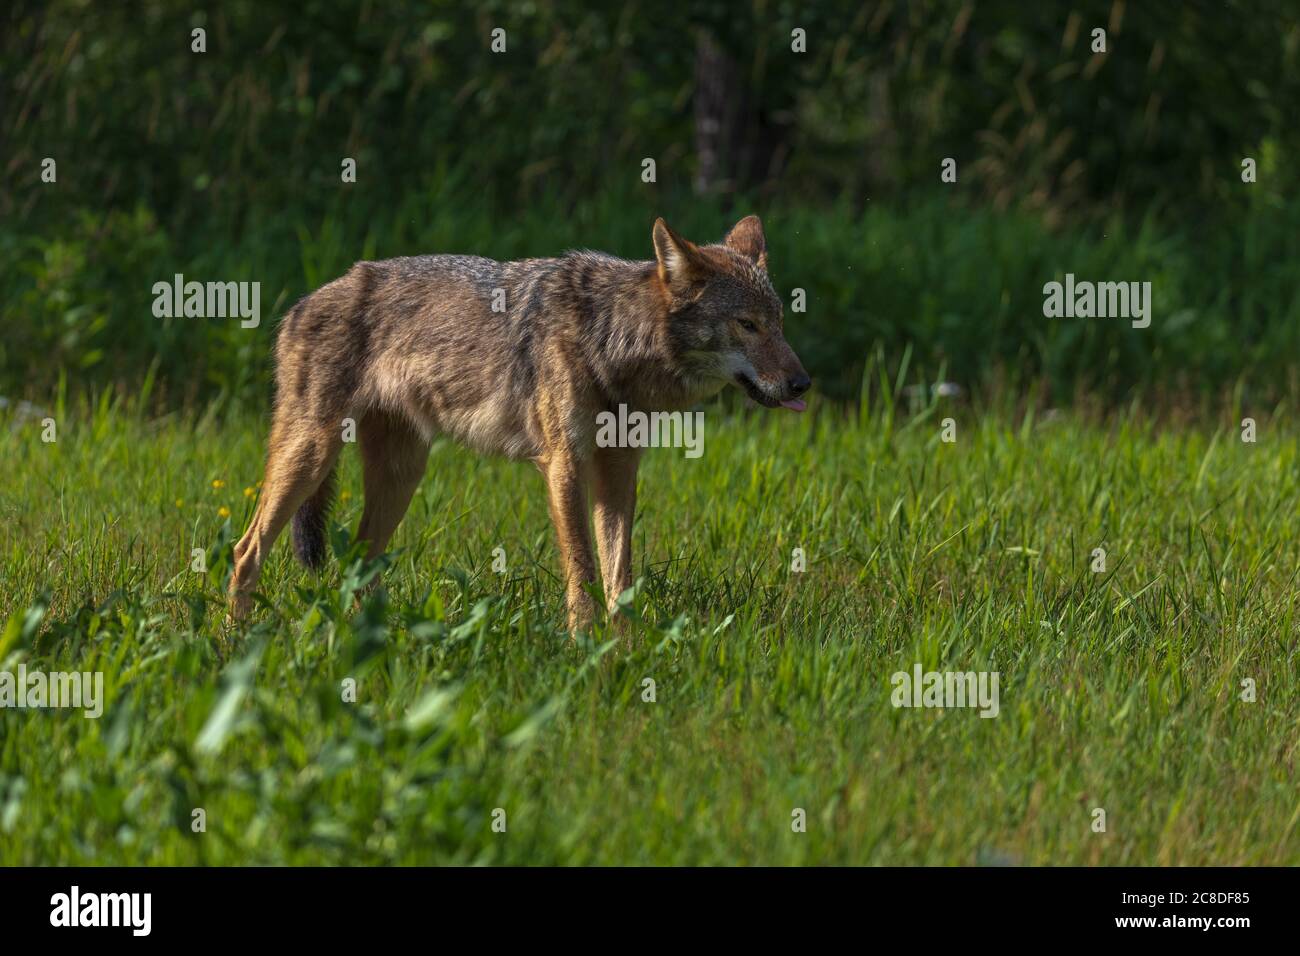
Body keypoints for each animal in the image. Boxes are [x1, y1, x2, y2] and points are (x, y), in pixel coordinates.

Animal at [229, 215, 810, 630]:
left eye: (781, 323)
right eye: (748, 325)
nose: (802, 384)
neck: (611, 341)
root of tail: (301, 302)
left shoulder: (620, 469)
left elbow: (618, 575)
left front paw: (624, 651)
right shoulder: (563, 465)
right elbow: (582, 569)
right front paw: (584, 647)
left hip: (400, 476)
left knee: (355, 565)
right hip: (311, 456)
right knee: (245, 551)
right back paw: (238, 648)